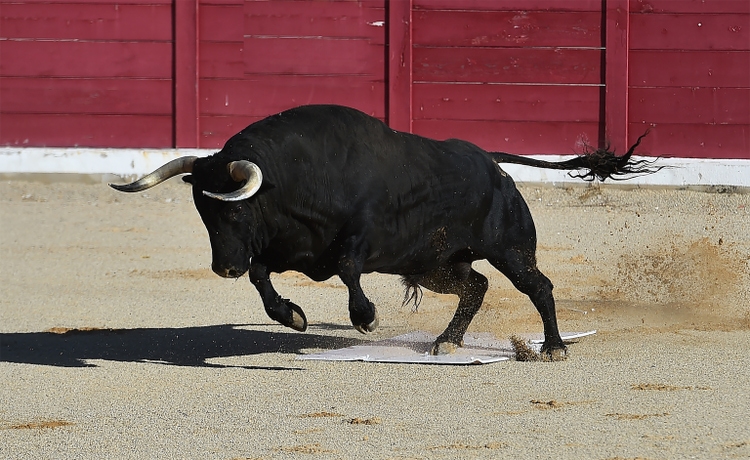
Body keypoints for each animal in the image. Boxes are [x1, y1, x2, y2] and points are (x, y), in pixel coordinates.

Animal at [110, 104, 657, 357]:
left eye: (235, 213)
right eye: (203, 214)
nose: (223, 267)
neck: (297, 180)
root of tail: (491, 163)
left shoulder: (358, 240)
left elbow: (349, 268)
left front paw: (366, 318)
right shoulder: (288, 251)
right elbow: (261, 277)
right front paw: (293, 317)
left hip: (510, 249)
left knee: (538, 286)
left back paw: (554, 347)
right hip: (436, 263)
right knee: (476, 286)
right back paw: (447, 341)